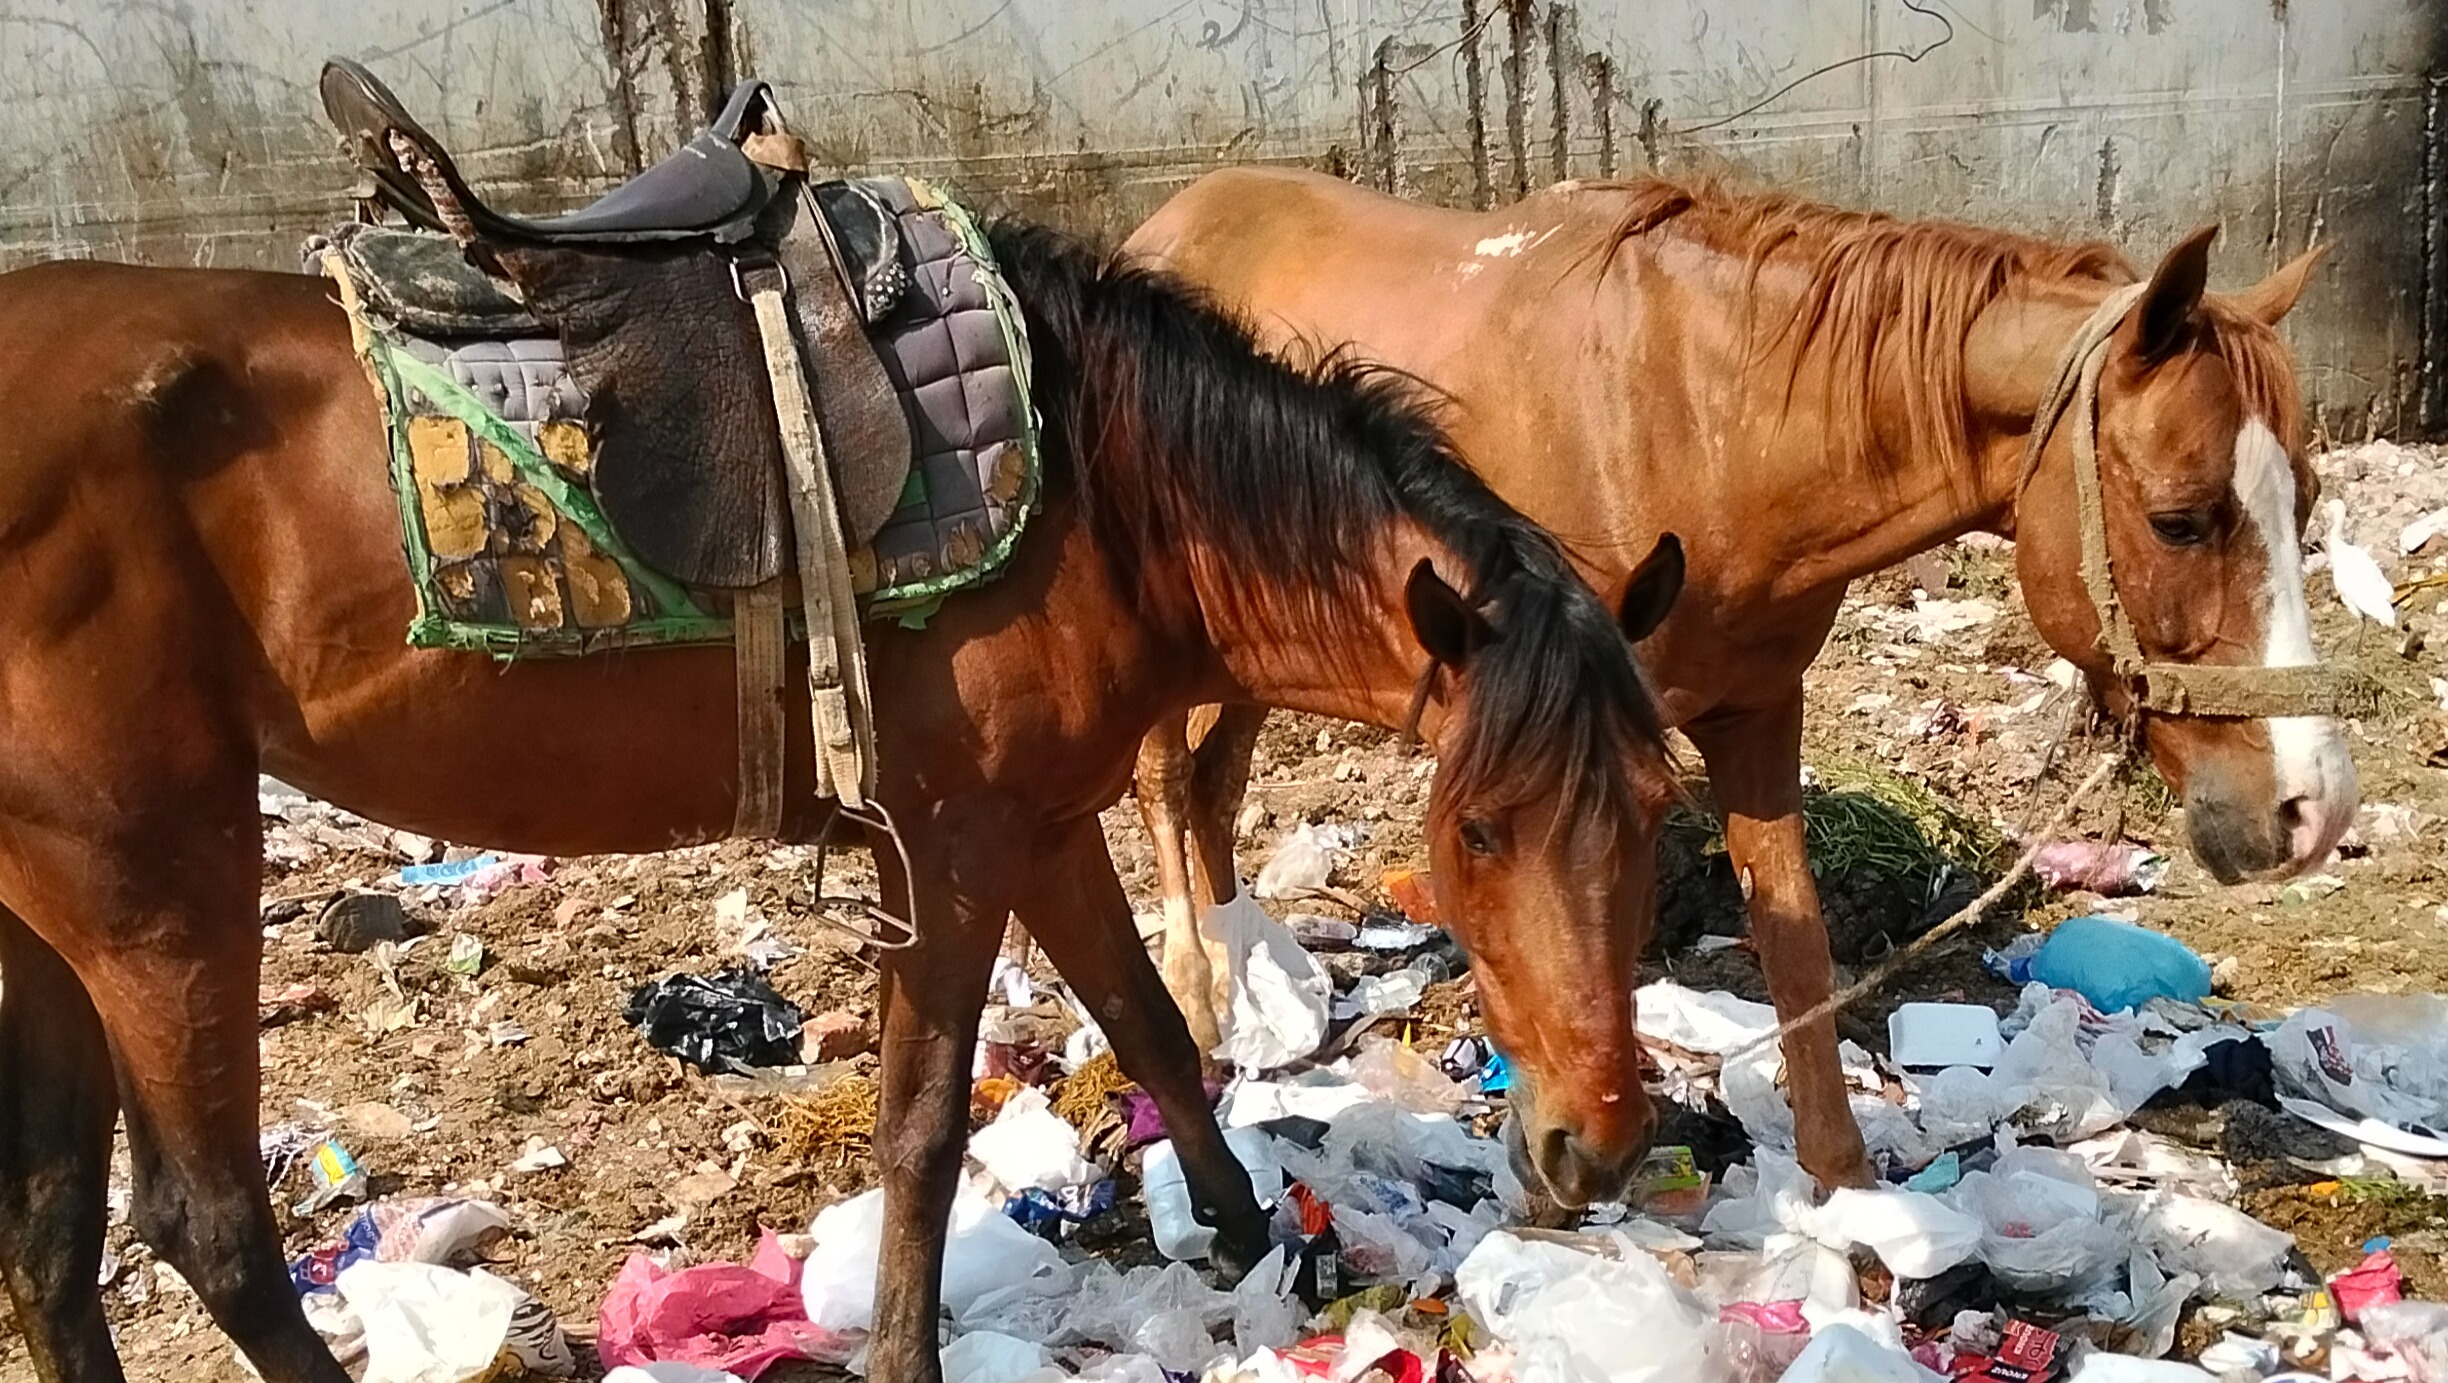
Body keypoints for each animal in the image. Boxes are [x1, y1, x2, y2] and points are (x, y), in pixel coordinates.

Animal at [0, 218, 1691, 1382]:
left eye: (1653, 809)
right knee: (207, 1223)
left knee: (52, 1237)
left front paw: (1249, 1226)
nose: (1600, 1146)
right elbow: (923, 1127)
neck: (1104, 493)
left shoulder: (1045, 823)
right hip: (154, 884)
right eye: (1477, 831)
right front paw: (905, 1346)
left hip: (47, 917)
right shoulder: (950, 848)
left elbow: (1151, 1021)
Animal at [1122, 166, 2358, 1193]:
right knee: (1167, 782)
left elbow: (1793, 933)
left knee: (1217, 787)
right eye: (2181, 520)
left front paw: (1839, 1178)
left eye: (2303, 493)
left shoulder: (1754, 711)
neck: (1702, 423)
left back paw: (1256, 981)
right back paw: (1199, 989)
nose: (2312, 808)